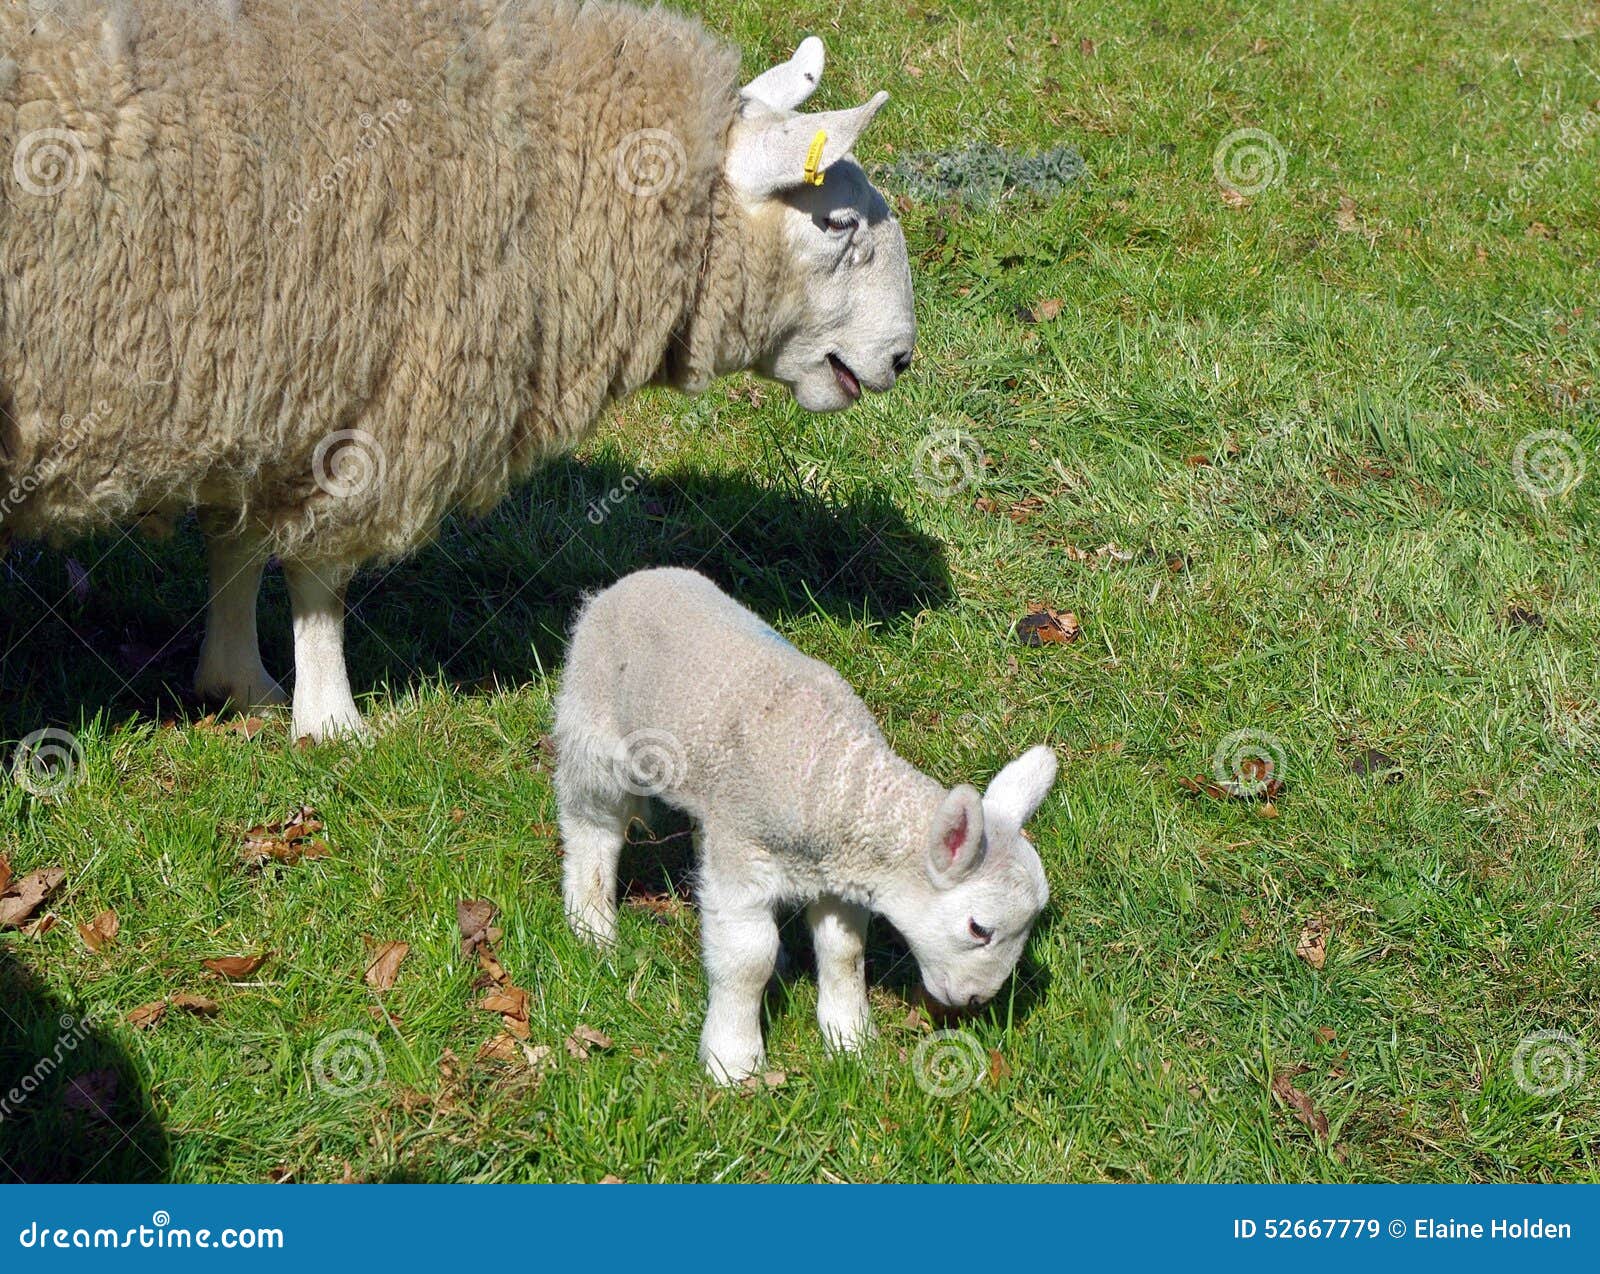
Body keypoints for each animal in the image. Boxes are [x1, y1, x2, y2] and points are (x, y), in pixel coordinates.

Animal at [0, 0, 917, 741]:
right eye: (836, 223)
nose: (903, 357)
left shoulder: (264, 383)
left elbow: (238, 542)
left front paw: (240, 682)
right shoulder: (372, 393)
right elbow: (317, 574)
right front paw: (331, 721)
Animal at [553, 568, 1056, 1083]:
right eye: (979, 929)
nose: (977, 1000)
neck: (836, 782)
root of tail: (633, 580)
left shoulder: (835, 876)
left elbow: (844, 952)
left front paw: (850, 1039)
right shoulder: (745, 856)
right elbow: (745, 959)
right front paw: (734, 1062)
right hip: (594, 723)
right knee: (590, 822)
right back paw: (591, 923)